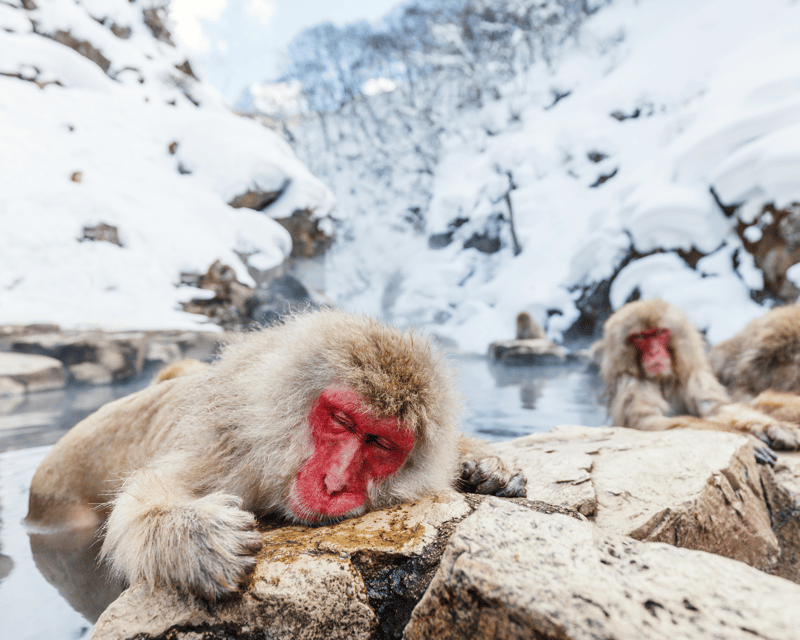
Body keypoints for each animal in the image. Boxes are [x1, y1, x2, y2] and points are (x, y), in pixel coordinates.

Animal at [26, 309, 526, 601]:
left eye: (380, 443)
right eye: (342, 421)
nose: (335, 482)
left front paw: (488, 466)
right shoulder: (229, 452)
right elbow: (144, 499)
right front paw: (194, 536)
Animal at [592, 298, 800, 458]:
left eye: (659, 333)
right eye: (640, 337)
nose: (654, 352)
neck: (663, 380)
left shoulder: (694, 374)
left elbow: (716, 408)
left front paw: (772, 427)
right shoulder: (632, 383)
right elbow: (647, 422)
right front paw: (747, 438)